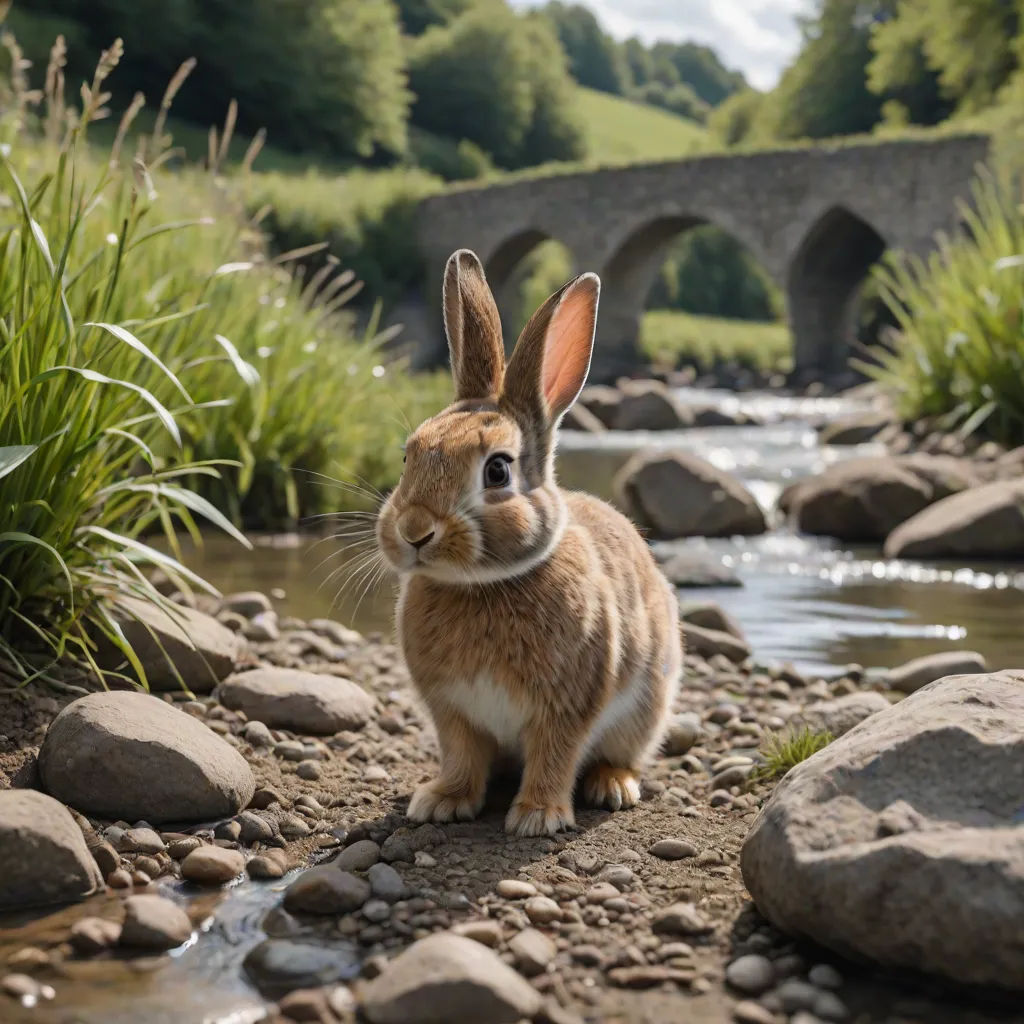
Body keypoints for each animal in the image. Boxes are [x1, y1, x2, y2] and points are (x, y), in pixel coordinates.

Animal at [376, 248, 682, 837]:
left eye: (497, 471)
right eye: (408, 455)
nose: (414, 531)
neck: (483, 585)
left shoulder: (567, 706)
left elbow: (554, 755)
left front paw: (538, 817)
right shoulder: (453, 711)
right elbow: (462, 754)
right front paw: (442, 801)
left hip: (646, 707)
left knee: (622, 754)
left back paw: (613, 785)